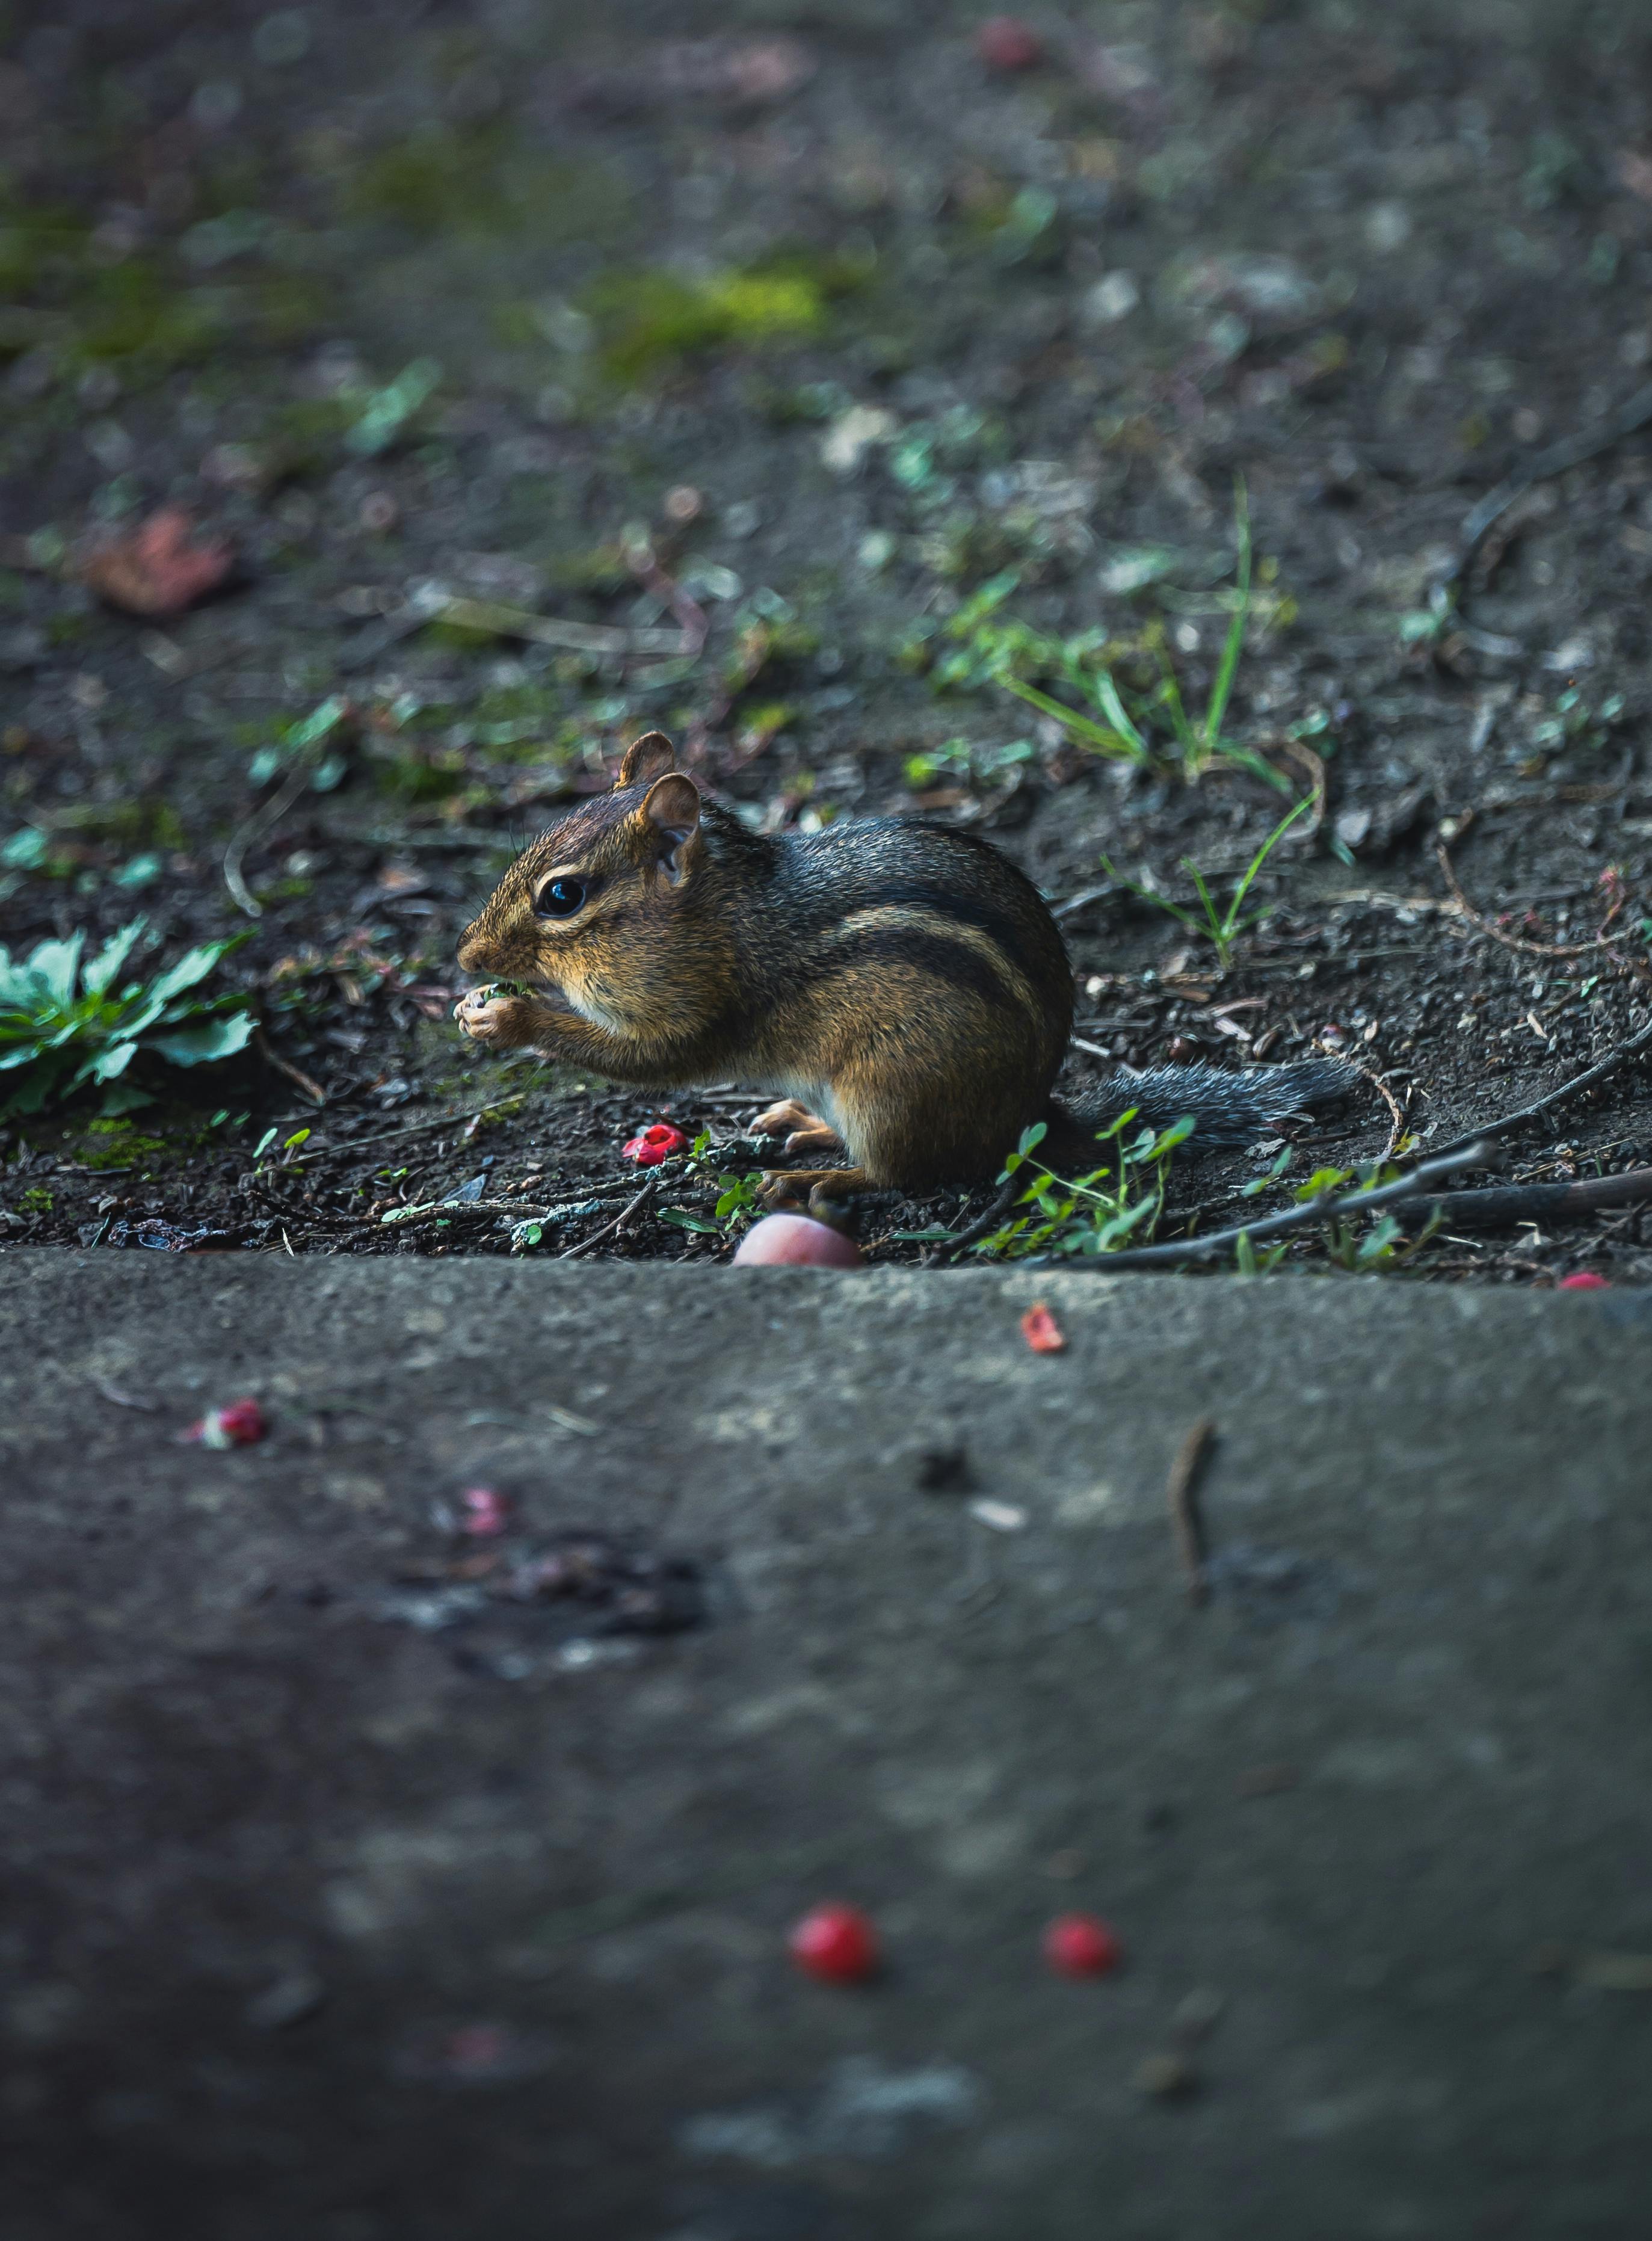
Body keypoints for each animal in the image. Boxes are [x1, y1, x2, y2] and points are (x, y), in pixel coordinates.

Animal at [454, 730, 1356, 1210]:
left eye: (562, 896)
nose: (466, 955)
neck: (716, 912)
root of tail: (1027, 1121)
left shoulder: (696, 1010)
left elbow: (649, 1060)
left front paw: (504, 1015)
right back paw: (803, 1124)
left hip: (889, 1093)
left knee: (902, 1175)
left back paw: (813, 1176)